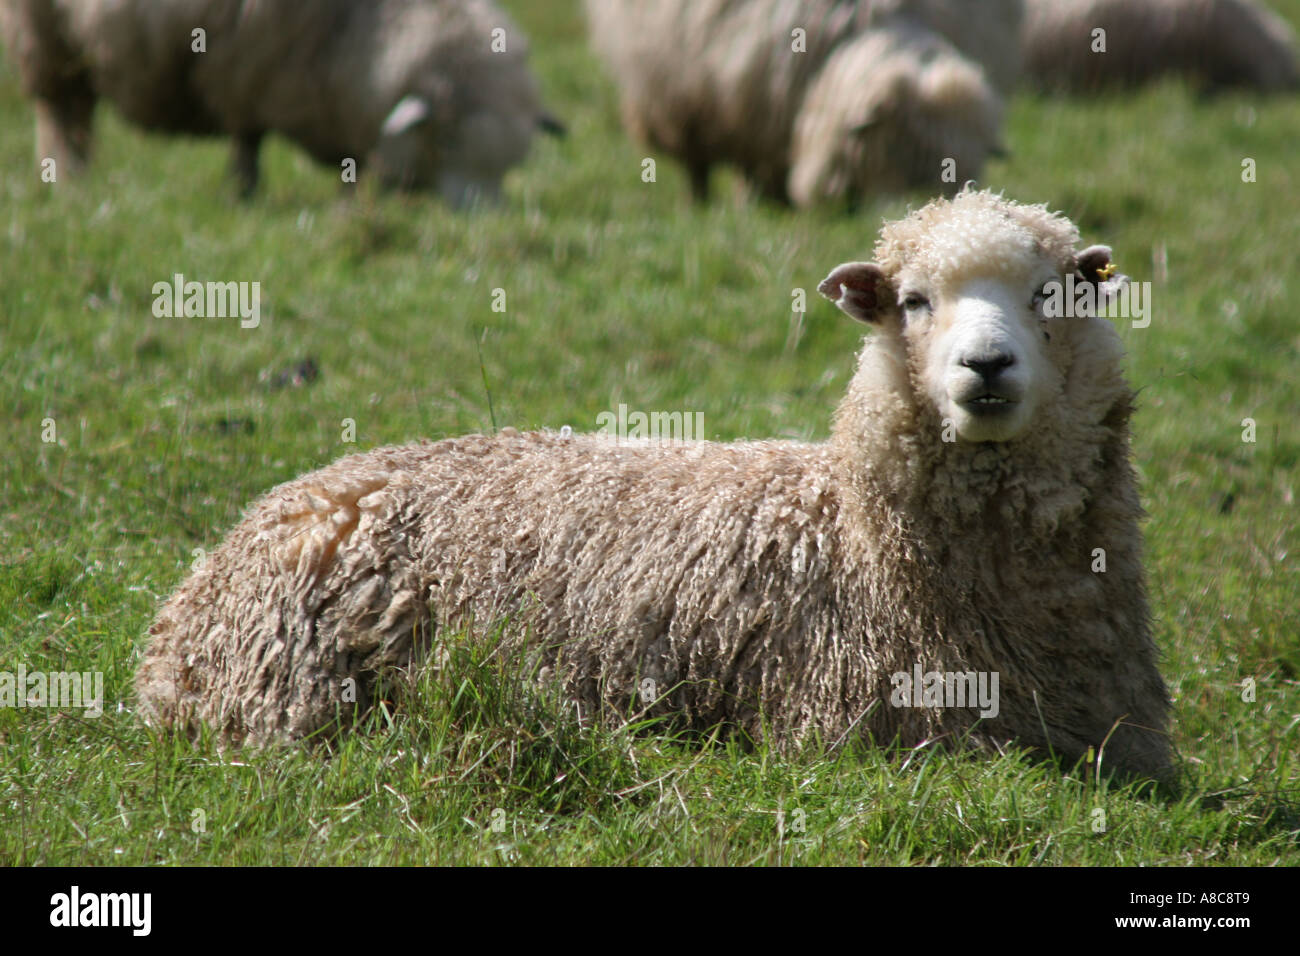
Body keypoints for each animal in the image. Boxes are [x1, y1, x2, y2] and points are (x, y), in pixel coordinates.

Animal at [0, 0, 561, 202]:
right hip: (44, 30)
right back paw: (67, 175)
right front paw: (244, 191)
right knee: (59, 109)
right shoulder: (241, 65)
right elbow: (246, 140)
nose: (482, 216)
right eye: (444, 143)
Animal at [135, 188, 1172, 783]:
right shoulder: (870, 734)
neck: (853, 534)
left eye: (1052, 292)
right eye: (913, 300)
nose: (986, 367)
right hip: (292, 695)